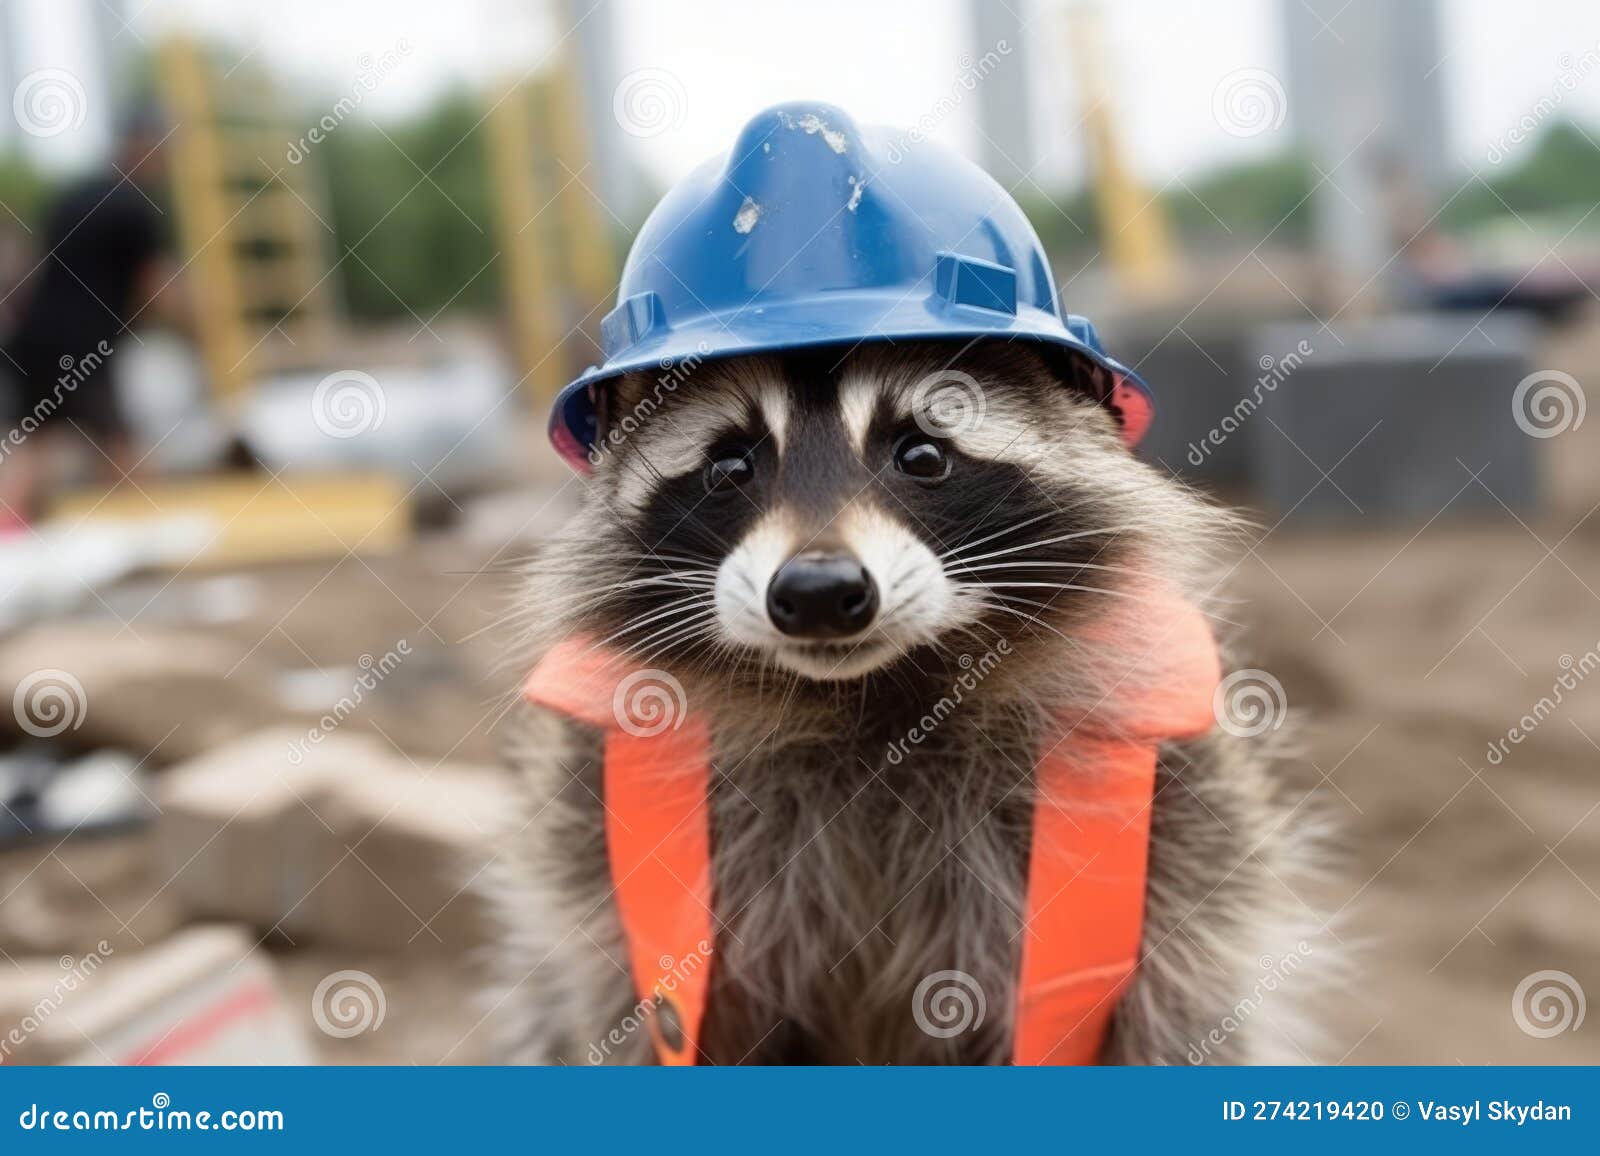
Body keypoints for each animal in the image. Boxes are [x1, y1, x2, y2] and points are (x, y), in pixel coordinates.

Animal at [482, 340, 1325, 1065]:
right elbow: (628, 1013)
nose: (819, 593)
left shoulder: (1184, 832)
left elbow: (1179, 1014)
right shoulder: (592, 848)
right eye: (729, 465)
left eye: (922, 453)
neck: (871, 698)